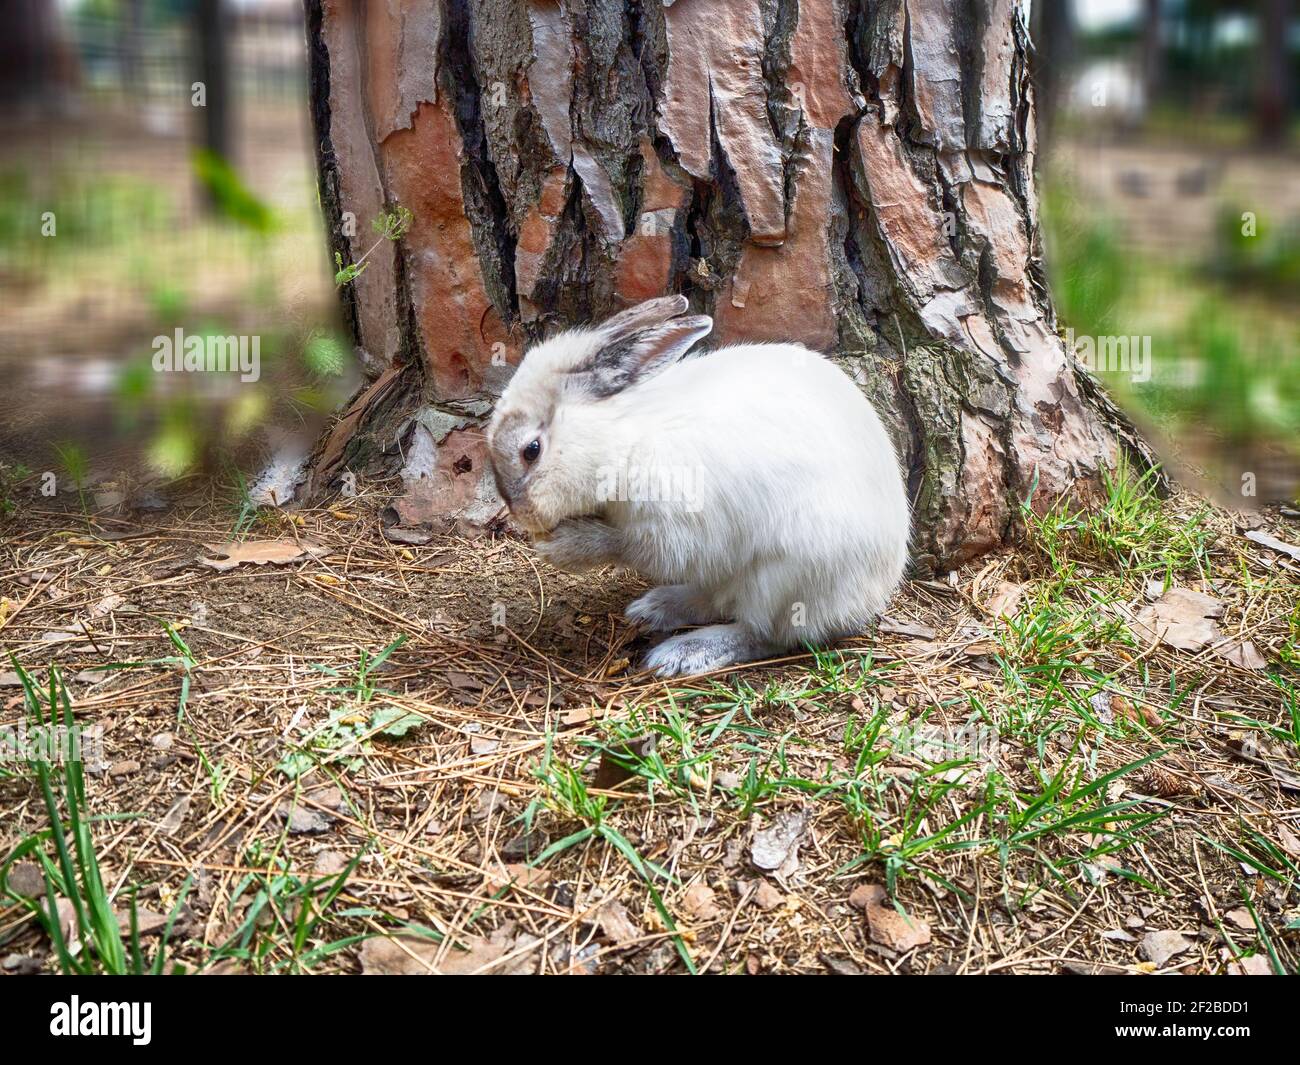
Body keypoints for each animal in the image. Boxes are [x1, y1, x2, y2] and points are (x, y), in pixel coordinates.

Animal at [486, 295, 909, 677]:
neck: (624, 440)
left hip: (784, 580)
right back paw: (655, 608)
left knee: (766, 633)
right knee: (717, 599)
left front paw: (566, 546)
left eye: (531, 450)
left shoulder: (675, 529)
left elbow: (626, 544)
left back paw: (683, 653)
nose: (519, 512)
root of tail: (876, 592)